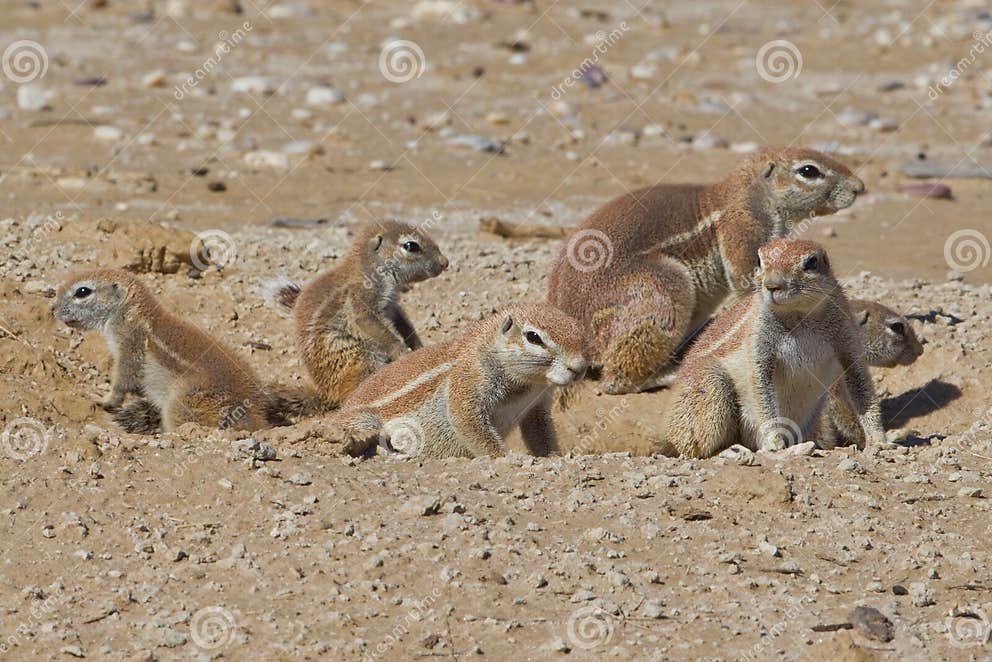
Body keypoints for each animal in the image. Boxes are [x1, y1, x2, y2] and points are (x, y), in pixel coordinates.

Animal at [53, 269, 275, 433]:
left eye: (82, 291)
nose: (53, 309)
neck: (133, 312)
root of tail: (255, 416)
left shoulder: (130, 345)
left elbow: (124, 379)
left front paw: (104, 399)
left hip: (182, 401)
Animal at [267, 221, 448, 410]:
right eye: (411, 246)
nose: (445, 263)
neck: (370, 268)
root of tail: (326, 395)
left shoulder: (392, 305)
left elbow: (403, 322)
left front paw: (418, 346)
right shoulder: (360, 298)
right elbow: (372, 324)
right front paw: (402, 352)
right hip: (363, 358)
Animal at [331, 304, 588, 458]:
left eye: (579, 330)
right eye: (533, 337)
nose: (579, 367)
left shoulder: (537, 405)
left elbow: (540, 433)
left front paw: (554, 457)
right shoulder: (468, 380)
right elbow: (468, 423)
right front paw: (504, 458)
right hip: (364, 420)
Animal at [547, 146, 865, 395]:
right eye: (808, 170)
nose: (859, 187)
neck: (747, 193)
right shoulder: (743, 229)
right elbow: (746, 281)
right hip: (664, 288)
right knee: (615, 381)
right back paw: (665, 374)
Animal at [657, 239, 884, 458]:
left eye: (811, 262)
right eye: (759, 260)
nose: (772, 285)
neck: (798, 315)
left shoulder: (847, 336)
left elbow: (860, 382)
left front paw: (878, 440)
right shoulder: (758, 339)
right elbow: (761, 387)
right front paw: (775, 442)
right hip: (709, 385)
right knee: (695, 449)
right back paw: (732, 450)